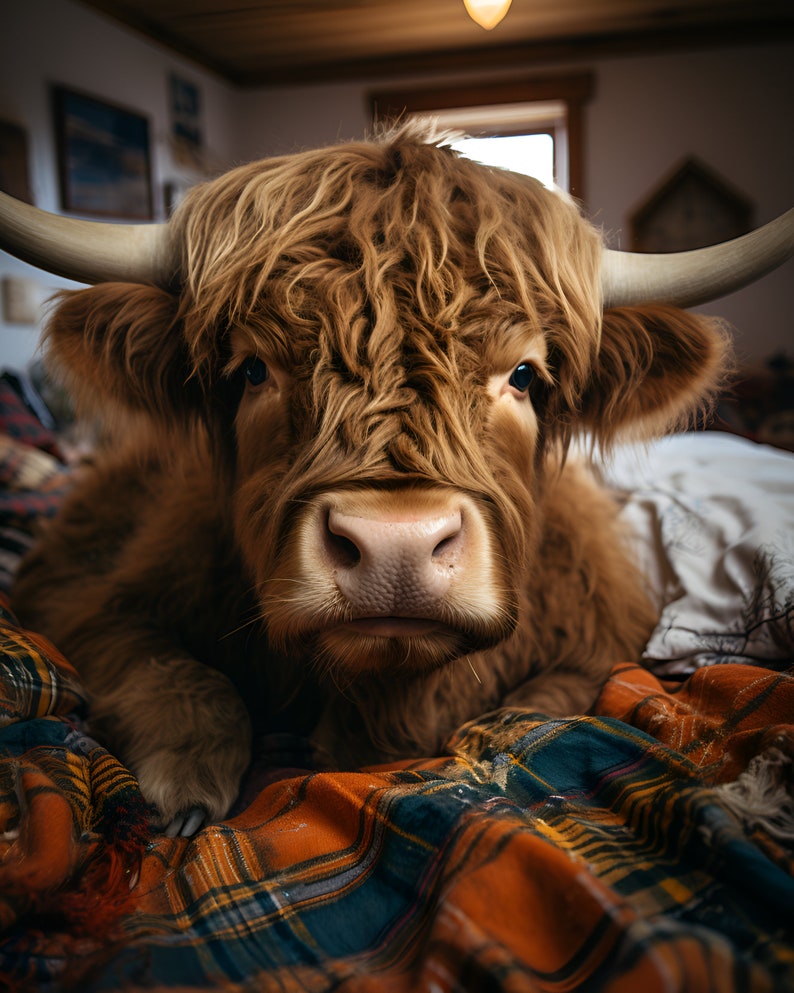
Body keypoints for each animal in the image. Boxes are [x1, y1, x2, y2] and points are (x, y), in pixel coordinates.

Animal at [1, 124, 792, 836]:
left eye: (524, 374)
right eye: (252, 370)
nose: (396, 548)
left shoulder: (601, 636)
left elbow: (536, 709)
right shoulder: (92, 603)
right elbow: (178, 675)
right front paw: (184, 786)